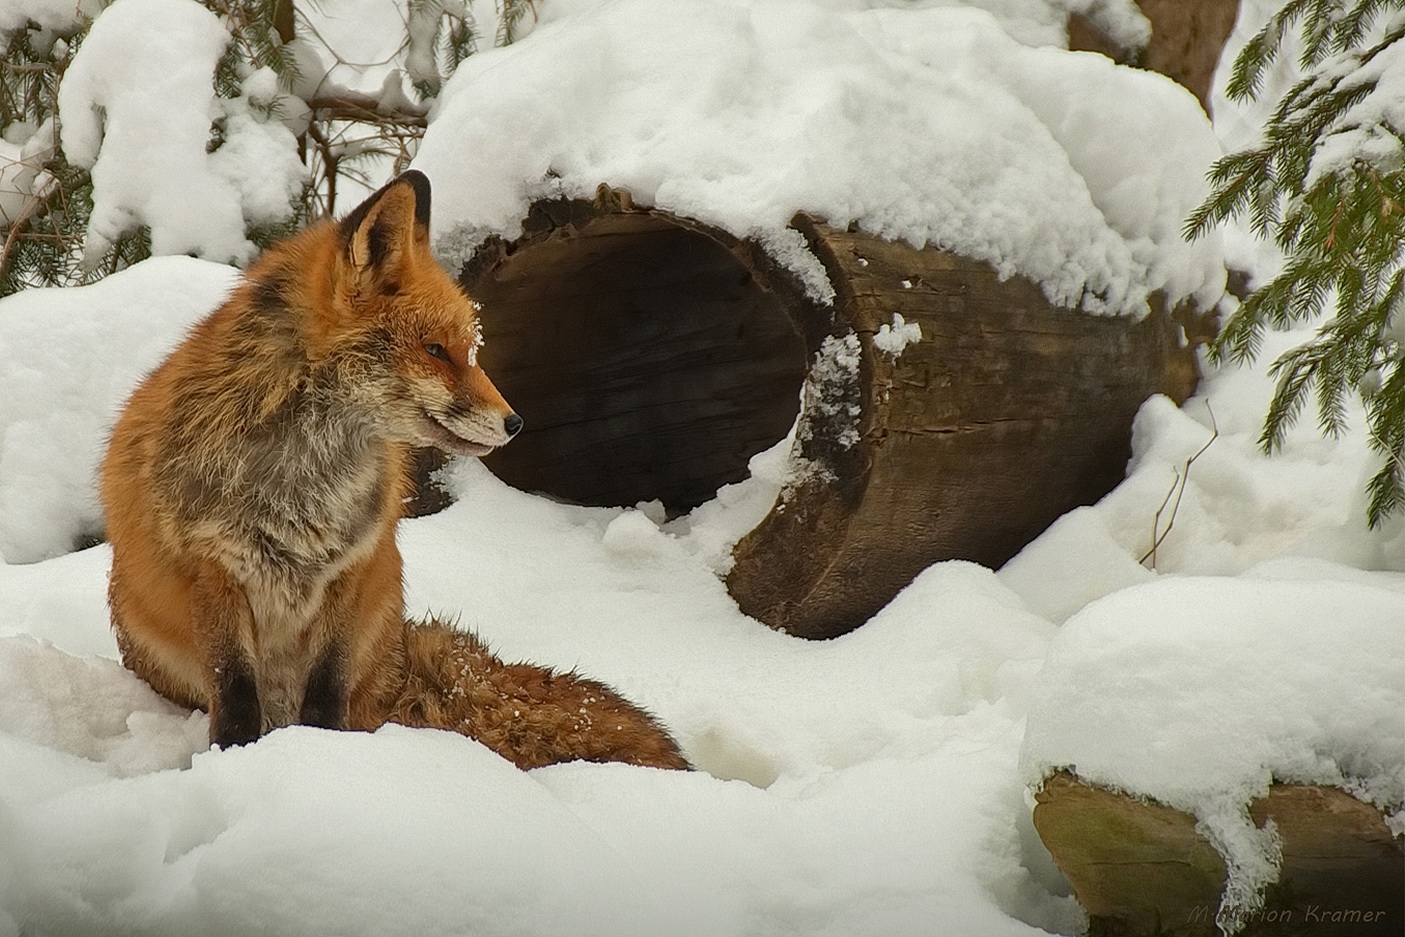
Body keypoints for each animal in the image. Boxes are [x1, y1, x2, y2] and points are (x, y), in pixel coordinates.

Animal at [97, 172, 685, 775]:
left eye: (468, 350)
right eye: (435, 350)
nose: (516, 422)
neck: (299, 482)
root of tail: (401, 657)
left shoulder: (351, 567)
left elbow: (327, 691)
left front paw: (329, 755)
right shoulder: (211, 570)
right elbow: (234, 693)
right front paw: (238, 759)